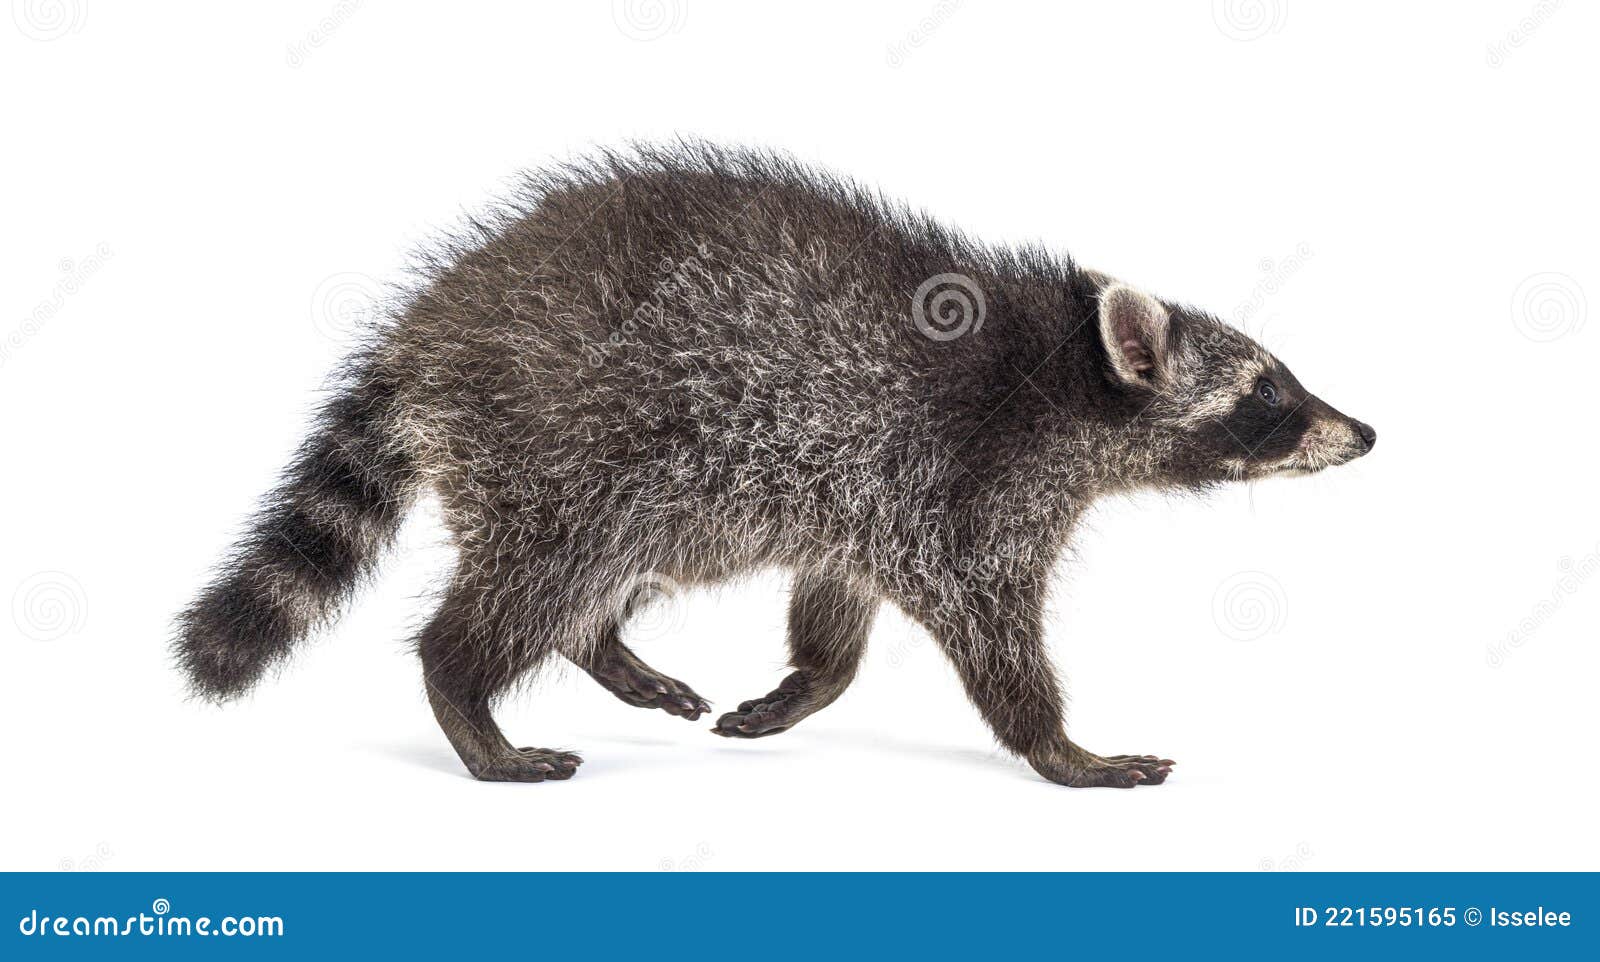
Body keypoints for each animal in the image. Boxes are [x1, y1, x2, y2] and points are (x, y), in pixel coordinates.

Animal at [176, 142, 1374, 788]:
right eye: (1269, 393)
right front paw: (1058, 744)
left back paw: (602, 646)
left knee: (594, 577)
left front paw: (807, 685)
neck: (1069, 371)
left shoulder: (871, 493)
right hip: (561, 444)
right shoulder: (971, 488)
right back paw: (468, 696)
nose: (1363, 432)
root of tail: (430, 326)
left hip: (638, 483)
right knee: (535, 581)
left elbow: (836, 608)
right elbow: (990, 629)